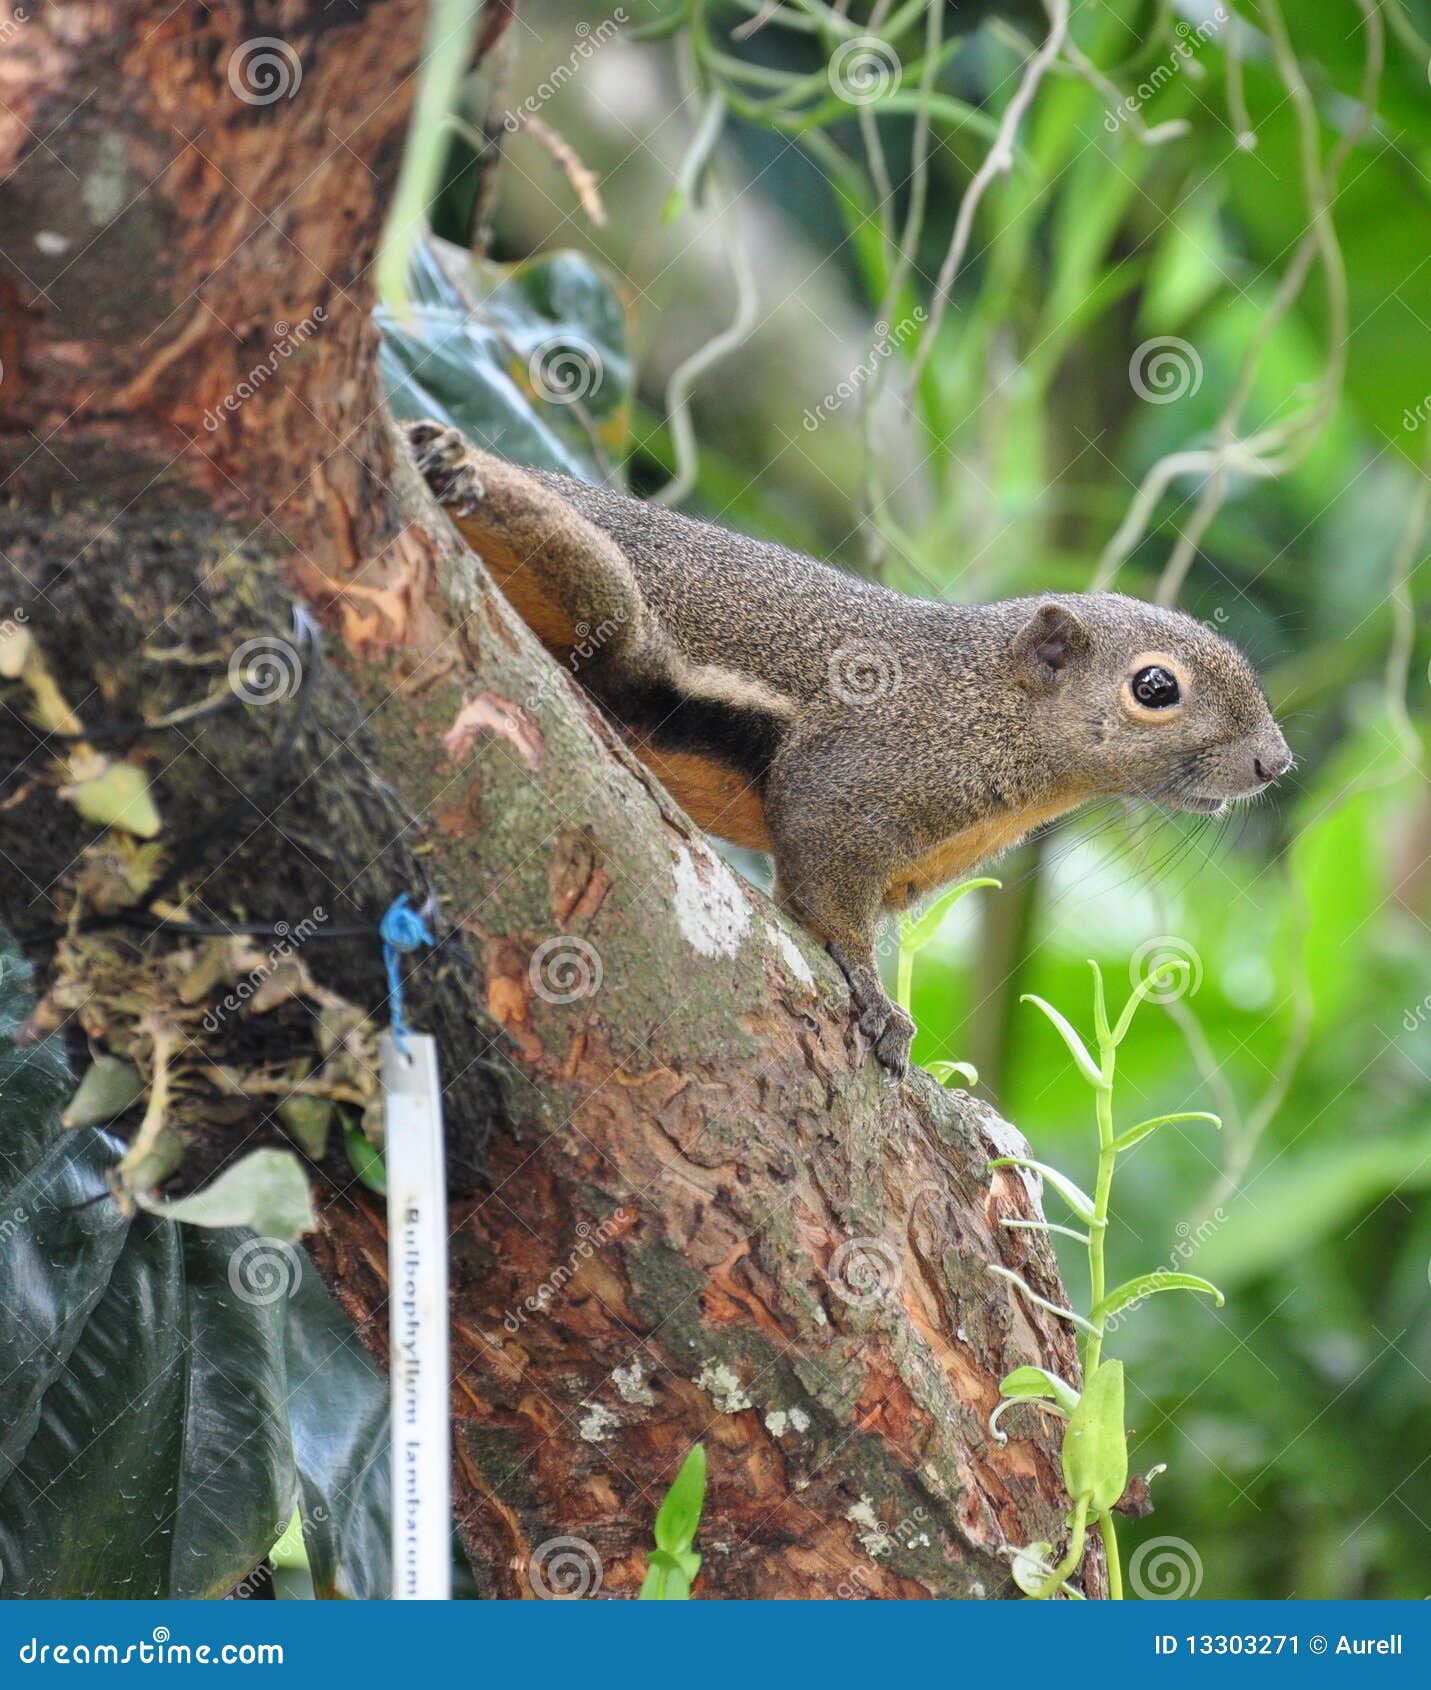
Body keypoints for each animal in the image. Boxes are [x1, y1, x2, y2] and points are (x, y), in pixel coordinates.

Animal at [405, 420, 1292, 1076]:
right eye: (1155, 687)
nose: (1274, 762)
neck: (981, 709)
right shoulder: (854, 782)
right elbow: (827, 899)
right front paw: (879, 1003)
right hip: (603, 599)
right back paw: (452, 465)